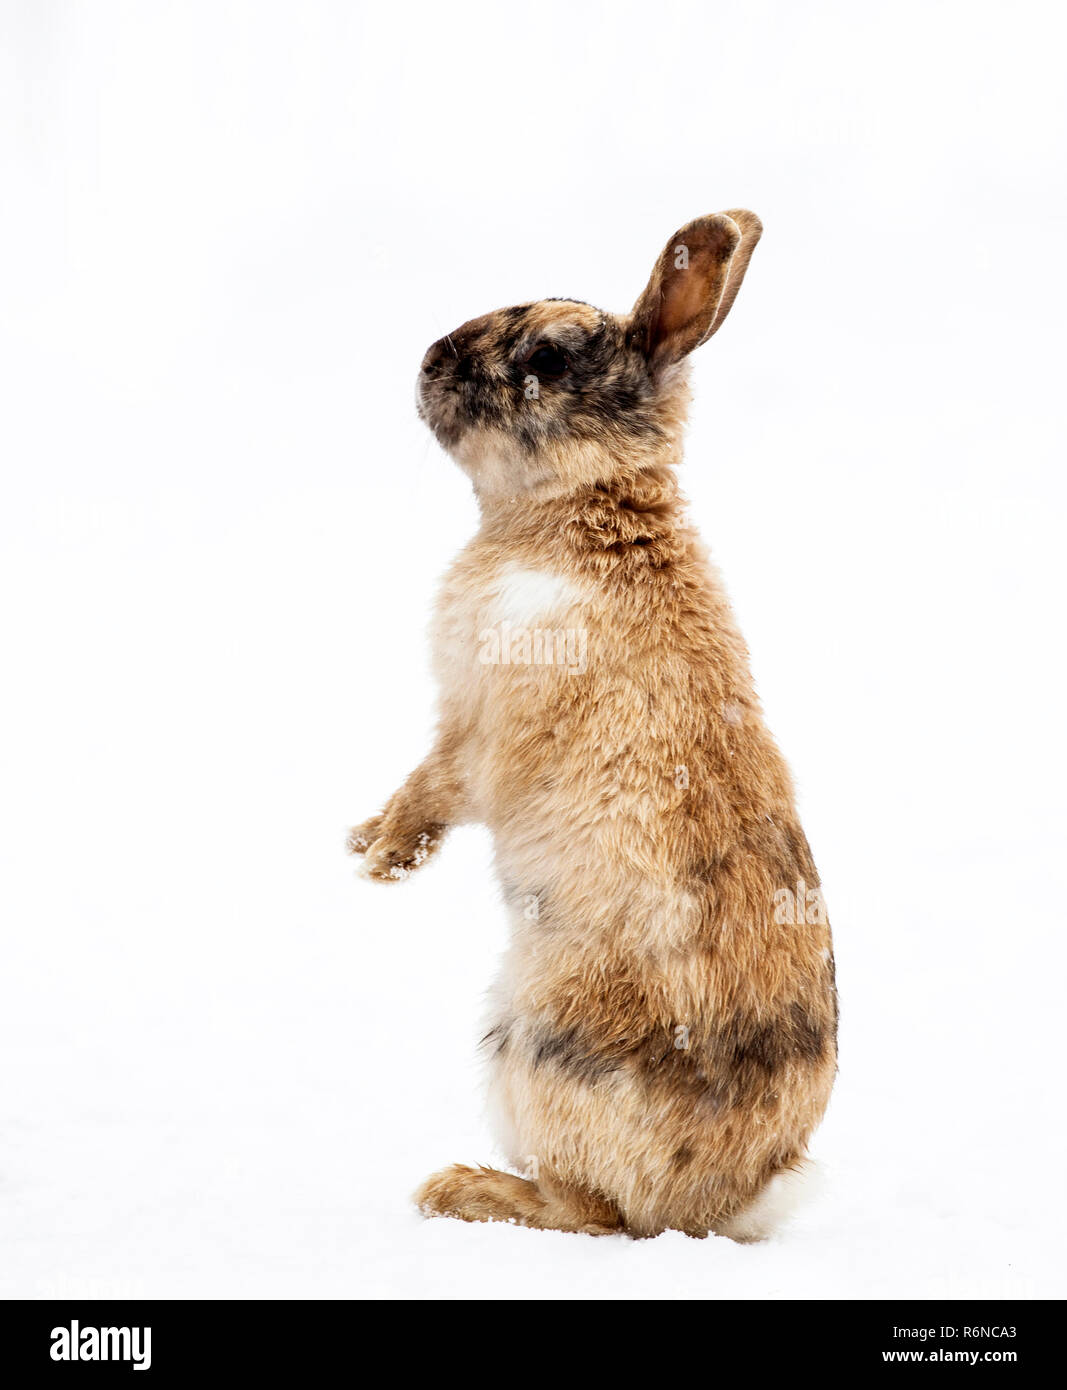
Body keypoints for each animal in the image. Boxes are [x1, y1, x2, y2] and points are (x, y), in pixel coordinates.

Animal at [348, 210, 837, 1239]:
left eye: (546, 355)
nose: (426, 359)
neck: (582, 507)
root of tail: (740, 1193)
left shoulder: (474, 732)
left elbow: (433, 792)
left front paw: (379, 865)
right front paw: (356, 842)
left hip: (536, 1043)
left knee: (596, 1214)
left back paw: (456, 1189)